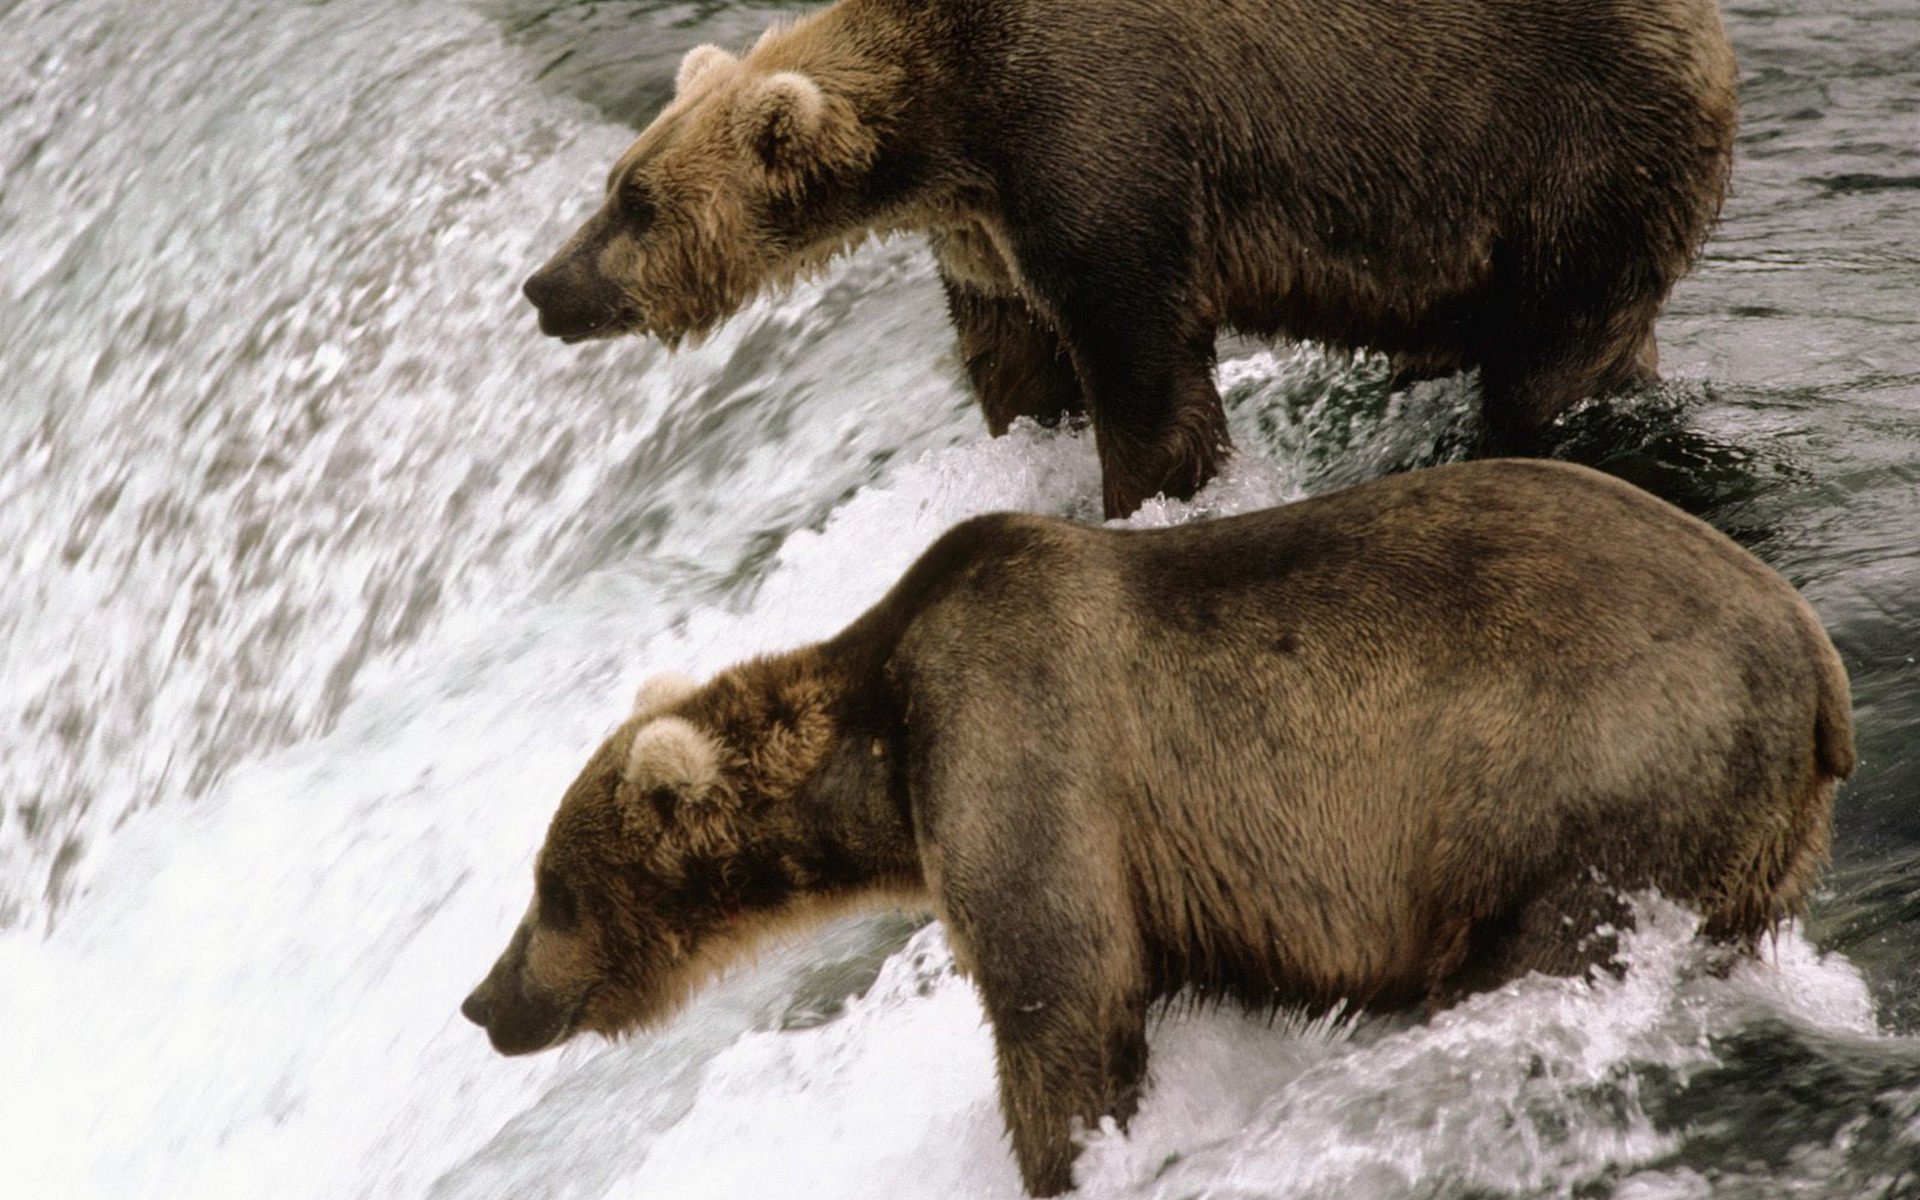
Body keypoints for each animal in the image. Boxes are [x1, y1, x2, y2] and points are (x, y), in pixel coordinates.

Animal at [461, 459, 1850, 1196]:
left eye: (551, 888)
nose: (483, 1001)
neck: (883, 758)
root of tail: (1816, 656)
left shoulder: (1023, 750)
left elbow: (1061, 1003)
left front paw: (1061, 1155)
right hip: (1751, 836)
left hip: (1595, 781)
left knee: (1549, 948)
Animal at [519, 0, 1738, 517]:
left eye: (635, 201)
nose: (542, 287)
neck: (950, 128)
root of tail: (1704, 28)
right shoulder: (984, 235)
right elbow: (1017, 364)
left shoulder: (1100, 145)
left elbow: (1140, 360)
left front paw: (1148, 495)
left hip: (1566, 151)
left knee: (1554, 356)